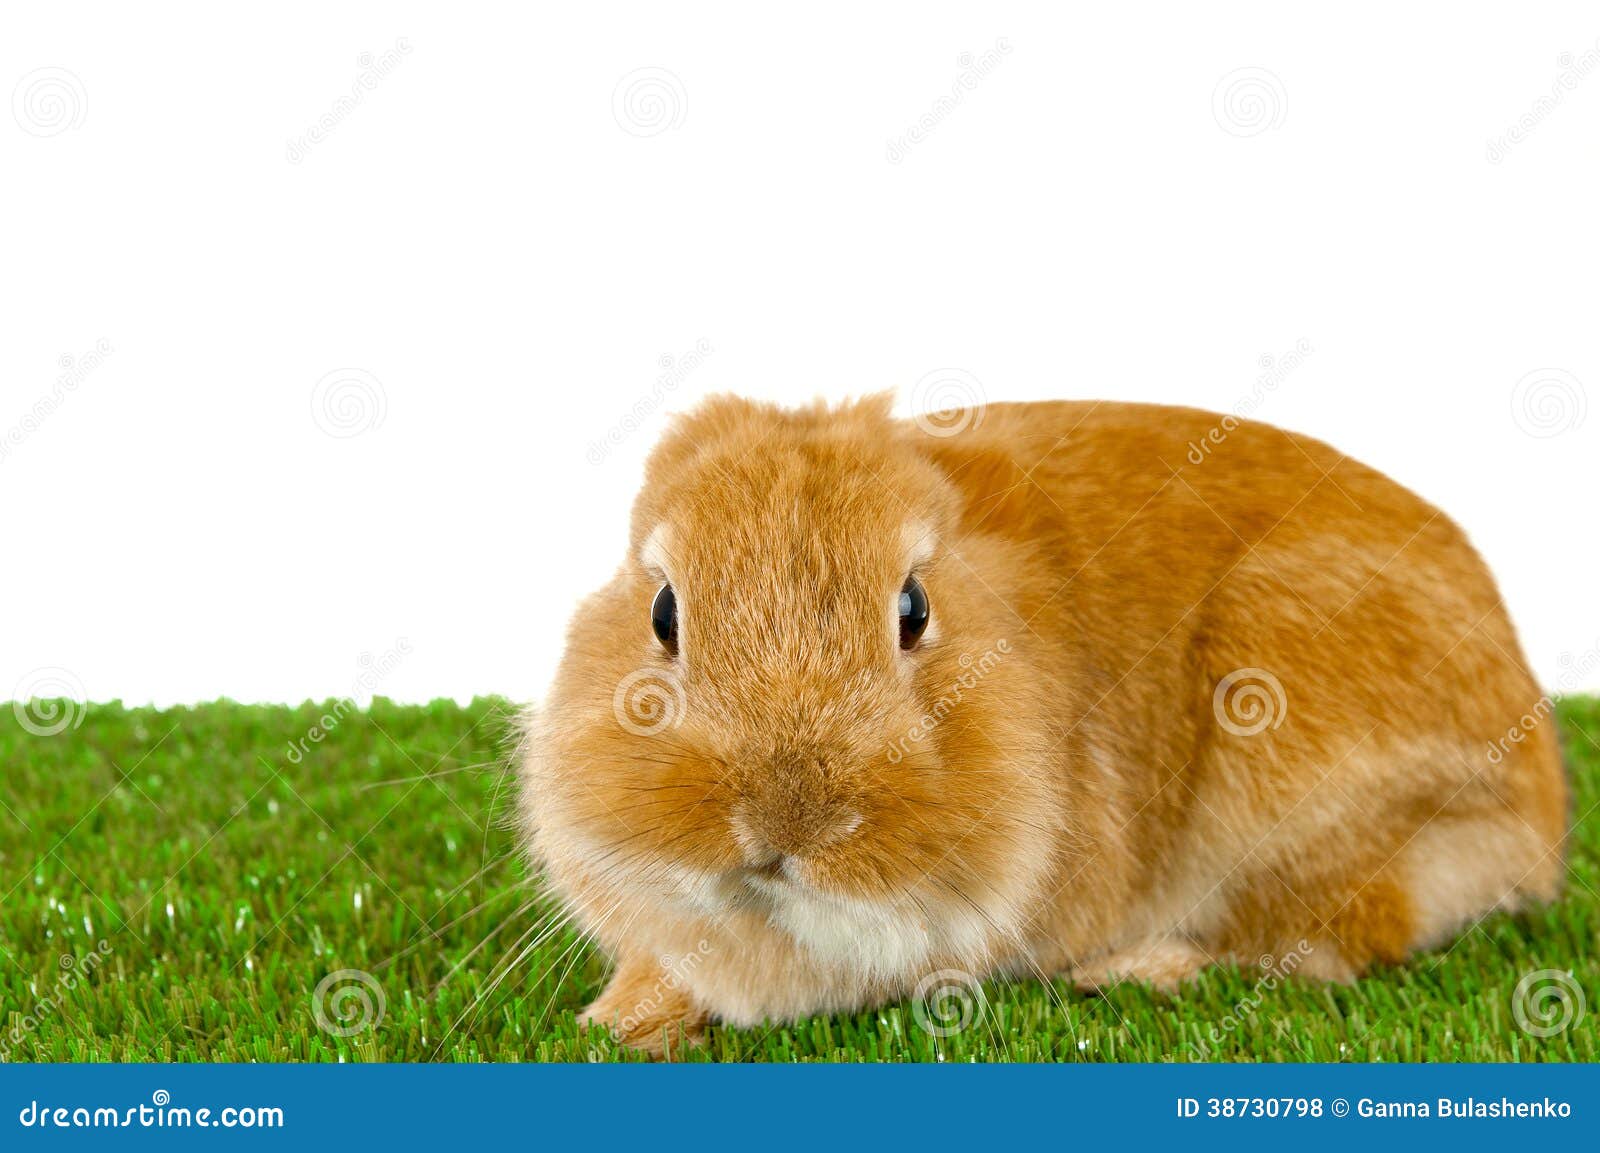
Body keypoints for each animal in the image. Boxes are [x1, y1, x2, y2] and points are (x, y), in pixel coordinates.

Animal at [518, 393, 1567, 1054]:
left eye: (913, 609)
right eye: (663, 612)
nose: (787, 817)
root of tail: (1542, 811)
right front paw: (617, 1022)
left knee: (1342, 935)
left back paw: (1138, 969)